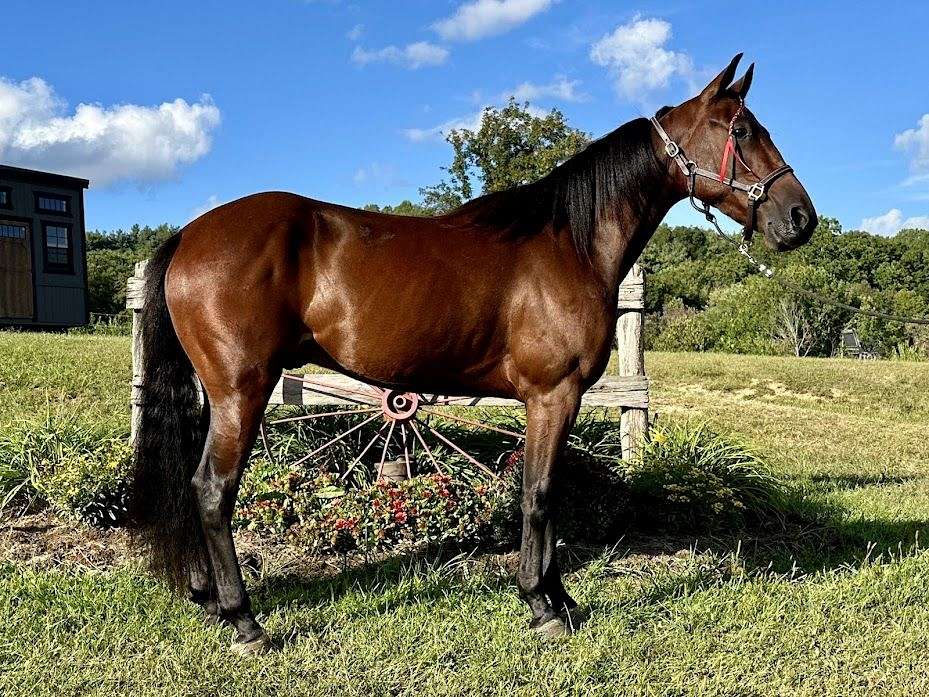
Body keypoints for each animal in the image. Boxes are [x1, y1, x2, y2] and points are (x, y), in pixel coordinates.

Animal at [129, 54, 817, 652]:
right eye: (741, 130)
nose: (800, 217)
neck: (569, 243)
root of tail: (188, 235)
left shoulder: (553, 401)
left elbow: (545, 493)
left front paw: (559, 598)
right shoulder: (552, 395)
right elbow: (540, 492)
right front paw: (542, 605)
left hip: (216, 394)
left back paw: (210, 600)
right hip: (241, 391)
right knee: (213, 489)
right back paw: (244, 620)